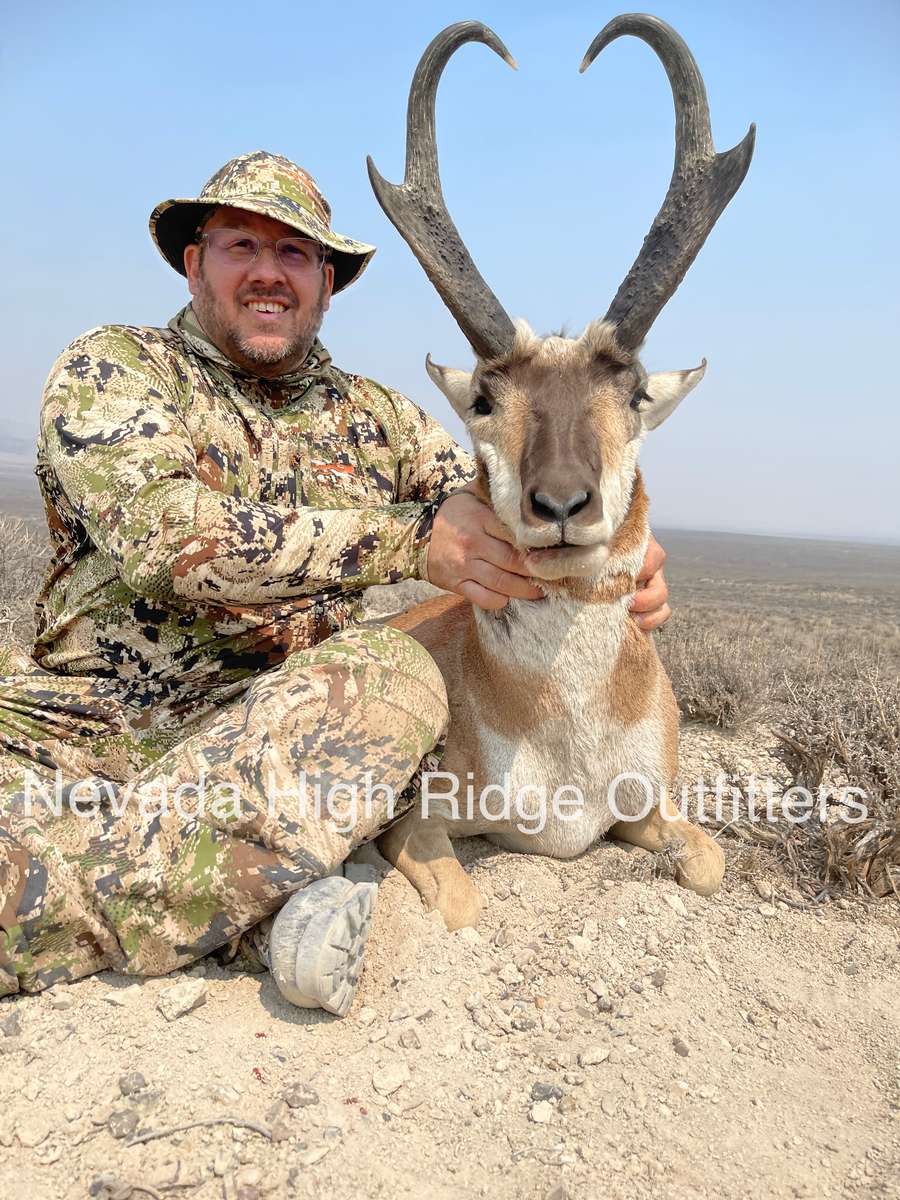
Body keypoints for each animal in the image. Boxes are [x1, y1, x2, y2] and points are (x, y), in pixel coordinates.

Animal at [367, 15, 755, 930]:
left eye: (636, 390)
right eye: (483, 398)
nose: (562, 505)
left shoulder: (652, 809)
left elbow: (708, 864)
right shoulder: (417, 827)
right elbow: (461, 904)